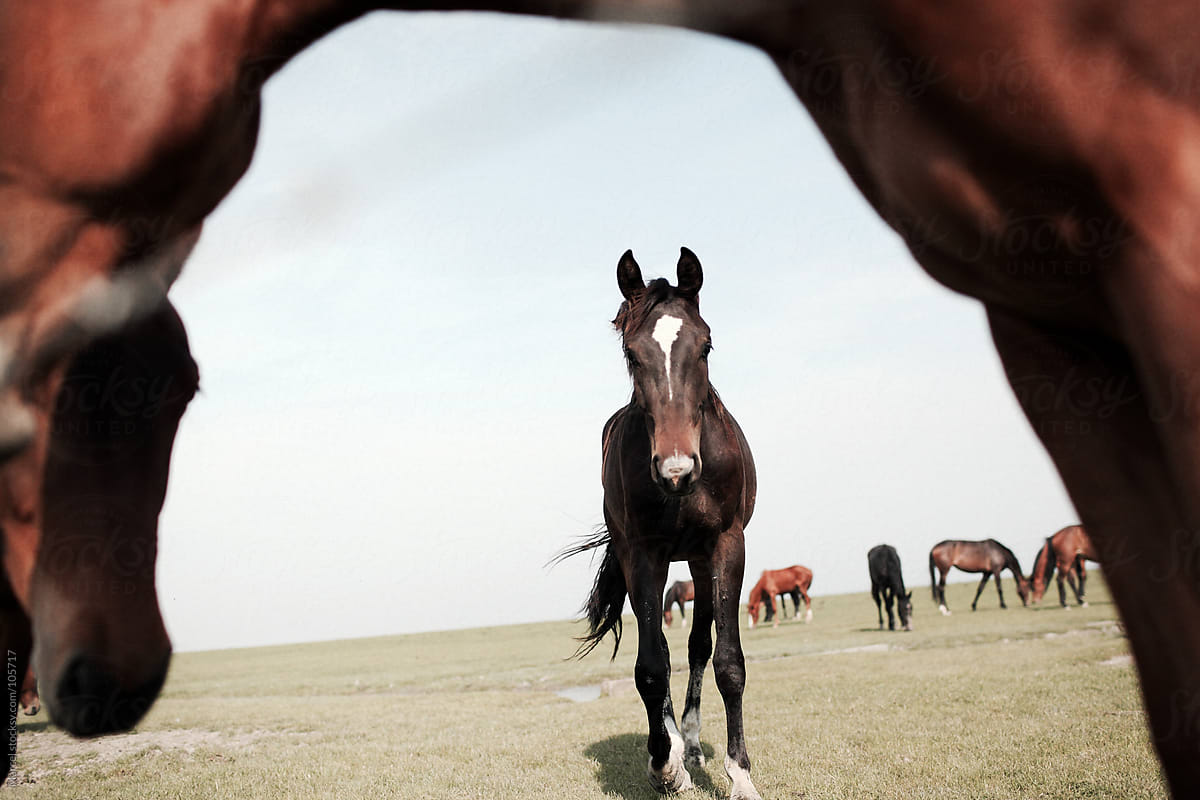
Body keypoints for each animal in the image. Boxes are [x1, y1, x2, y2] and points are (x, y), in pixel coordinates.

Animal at [564, 249, 761, 800]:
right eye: (633, 354)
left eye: (706, 344)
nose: (676, 468)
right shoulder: (642, 553)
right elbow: (652, 666)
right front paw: (663, 764)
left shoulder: (726, 545)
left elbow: (727, 661)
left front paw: (740, 774)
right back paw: (676, 748)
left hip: (696, 559)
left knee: (697, 647)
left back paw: (690, 743)